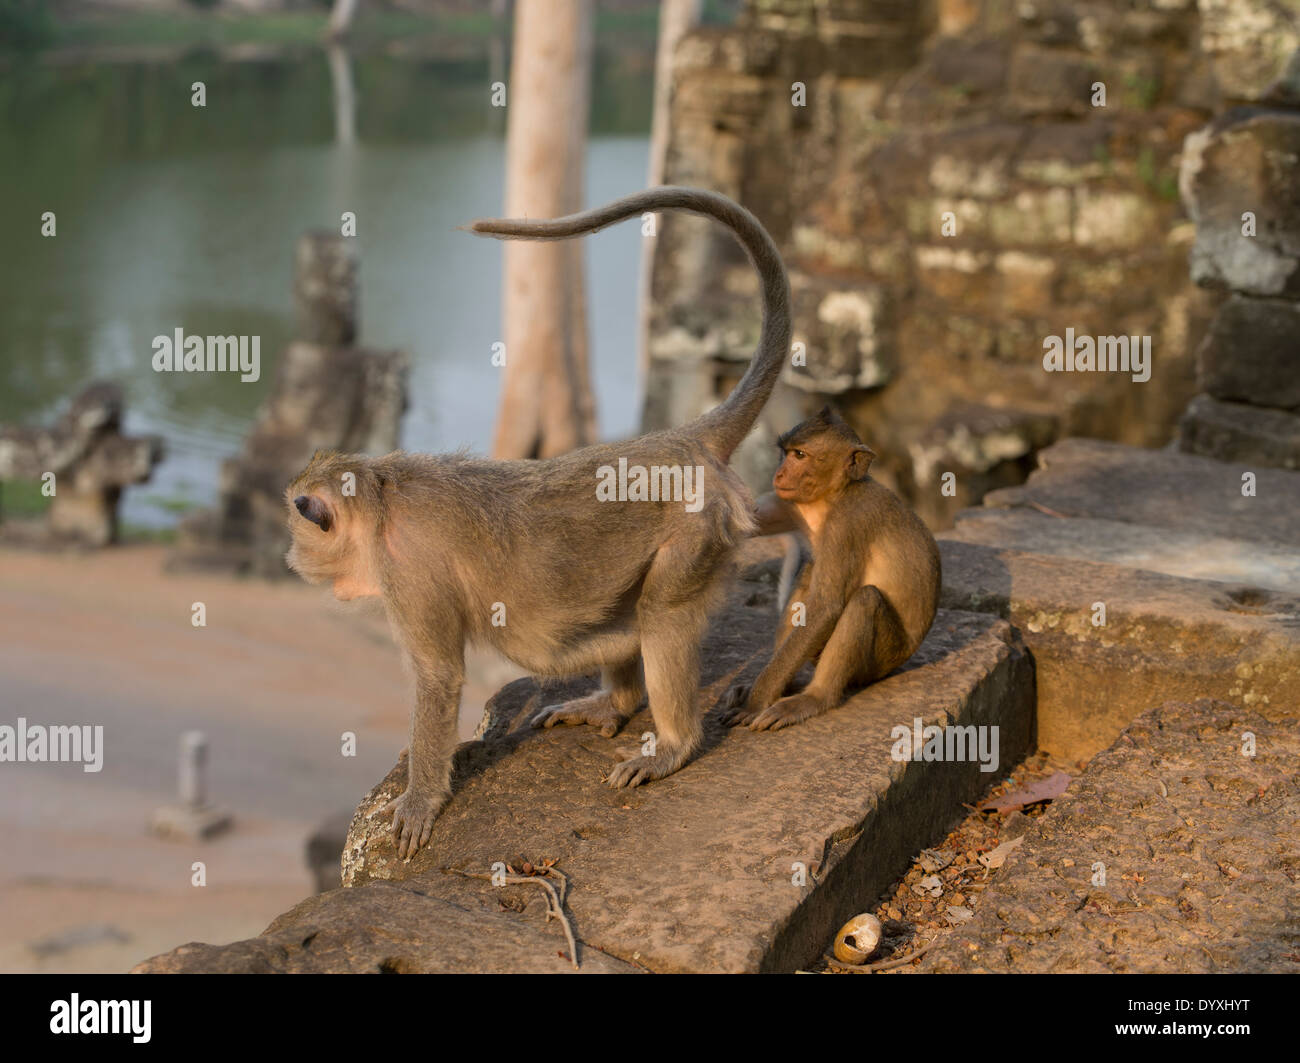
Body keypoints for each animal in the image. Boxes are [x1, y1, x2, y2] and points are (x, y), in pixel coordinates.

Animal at [285, 187, 791, 857]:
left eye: (297, 524)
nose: (289, 557)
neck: (380, 500)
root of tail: (681, 442)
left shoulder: (408, 572)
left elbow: (438, 678)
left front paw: (420, 800)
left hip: (697, 529)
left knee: (661, 614)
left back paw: (673, 745)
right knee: (628, 616)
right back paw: (618, 701)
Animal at [719, 406, 940, 732]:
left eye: (800, 454)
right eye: (785, 452)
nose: (779, 473)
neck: (831, 496)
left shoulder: (846, 523)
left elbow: (827, 607)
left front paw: (754, 704)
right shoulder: (791, 502)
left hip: (879, 662)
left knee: (865, 600)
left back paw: (814, 698)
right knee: (810, 574)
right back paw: (788, 685)